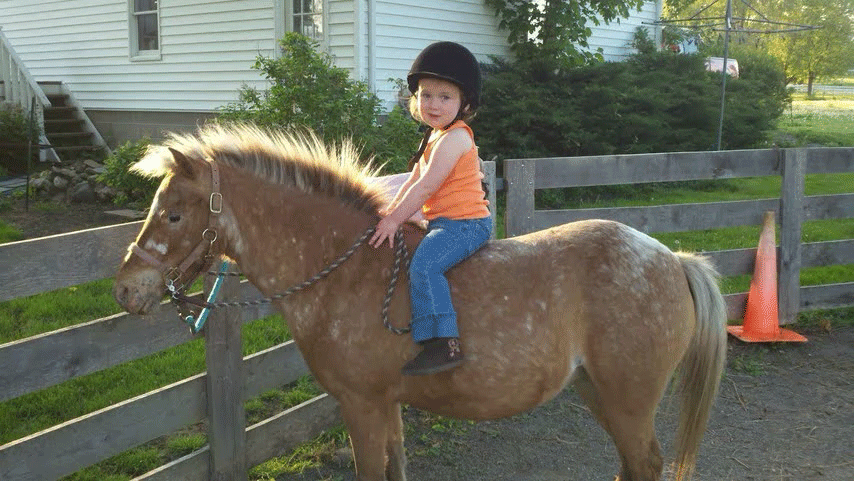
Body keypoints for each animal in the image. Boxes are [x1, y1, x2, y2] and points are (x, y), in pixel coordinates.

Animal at [113, 124, 727, 481]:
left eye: (173, 214)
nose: (125, 289)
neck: (345, 271)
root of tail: (673, 259)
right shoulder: (387, 404)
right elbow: (395, 465)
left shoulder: (361, 405)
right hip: (600, 392)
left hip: (628, 400)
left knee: (646, 462)